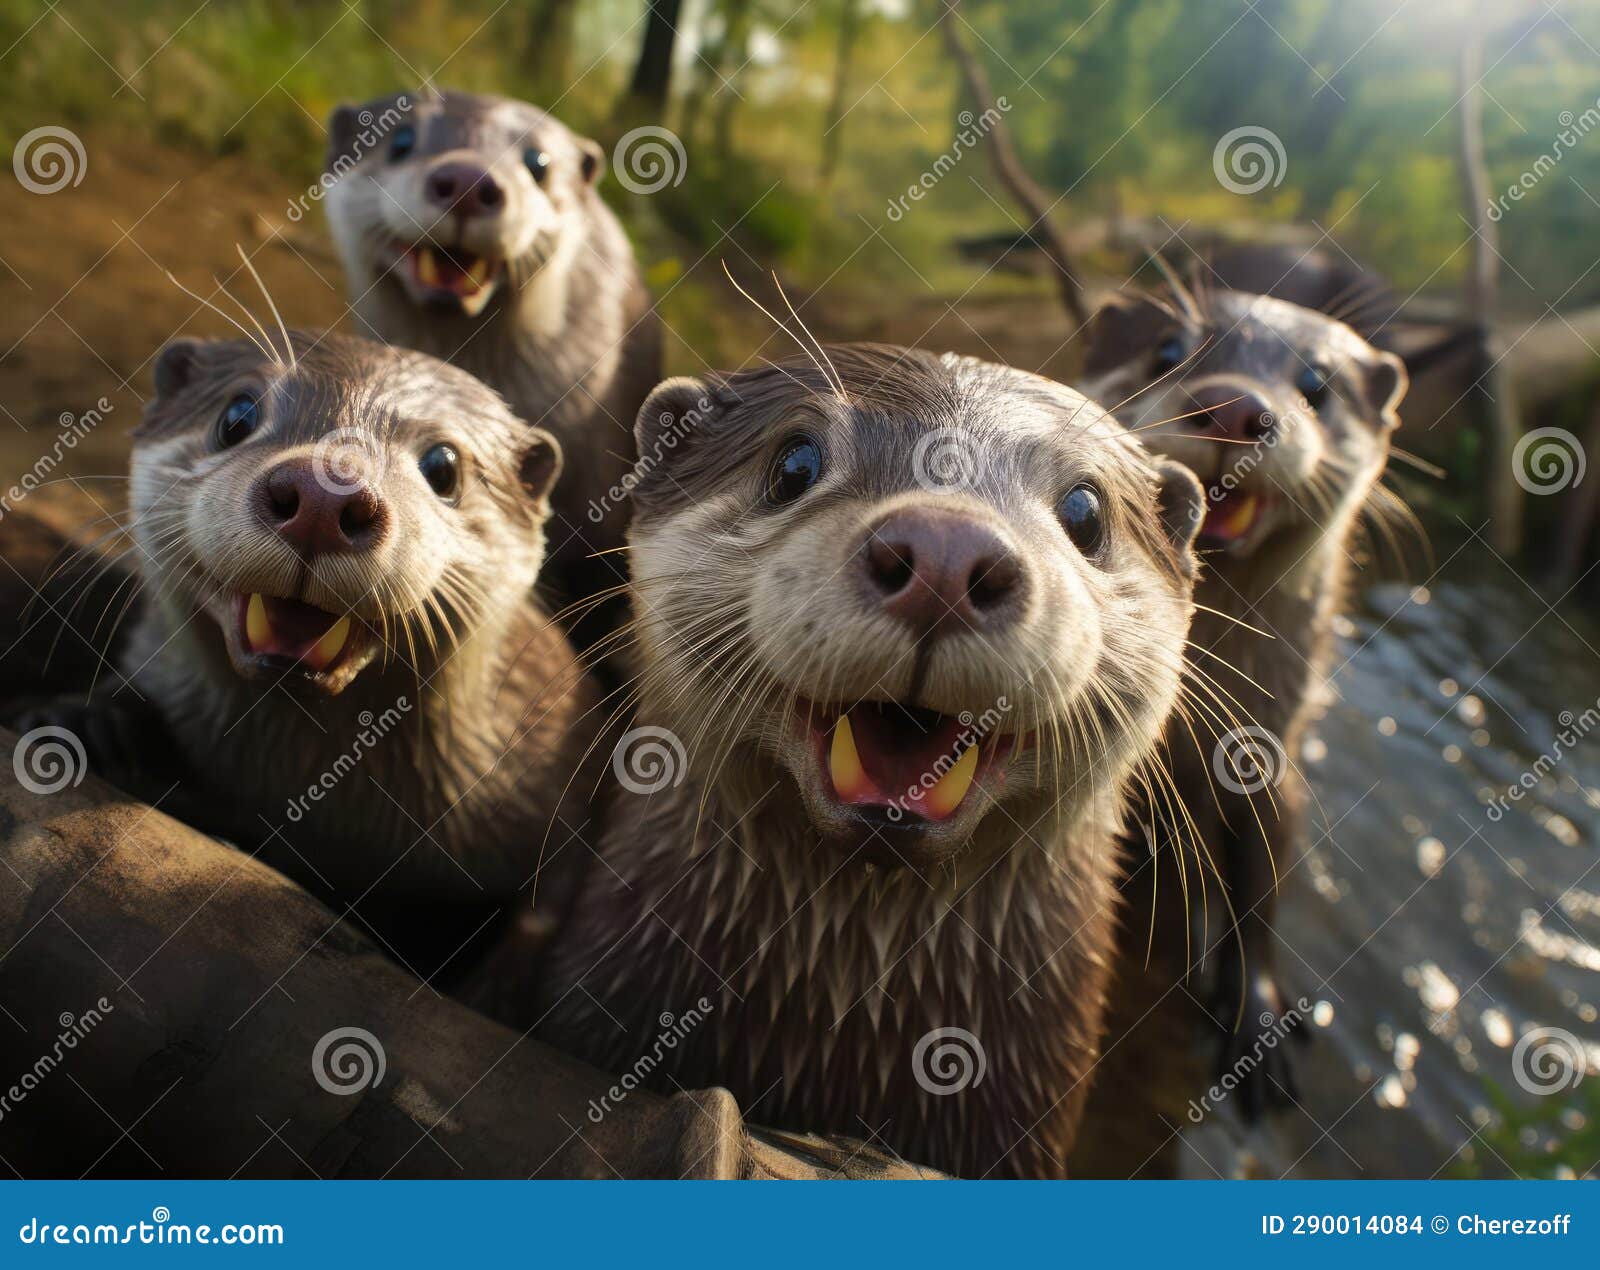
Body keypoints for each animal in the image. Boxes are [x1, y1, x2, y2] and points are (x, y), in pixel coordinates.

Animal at [1078, 285, 1408, 1125]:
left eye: (1318, 384)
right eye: (1167, 348)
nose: (1233, 407)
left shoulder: (1270, 760)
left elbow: (1262, 890)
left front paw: (1258, 1013)